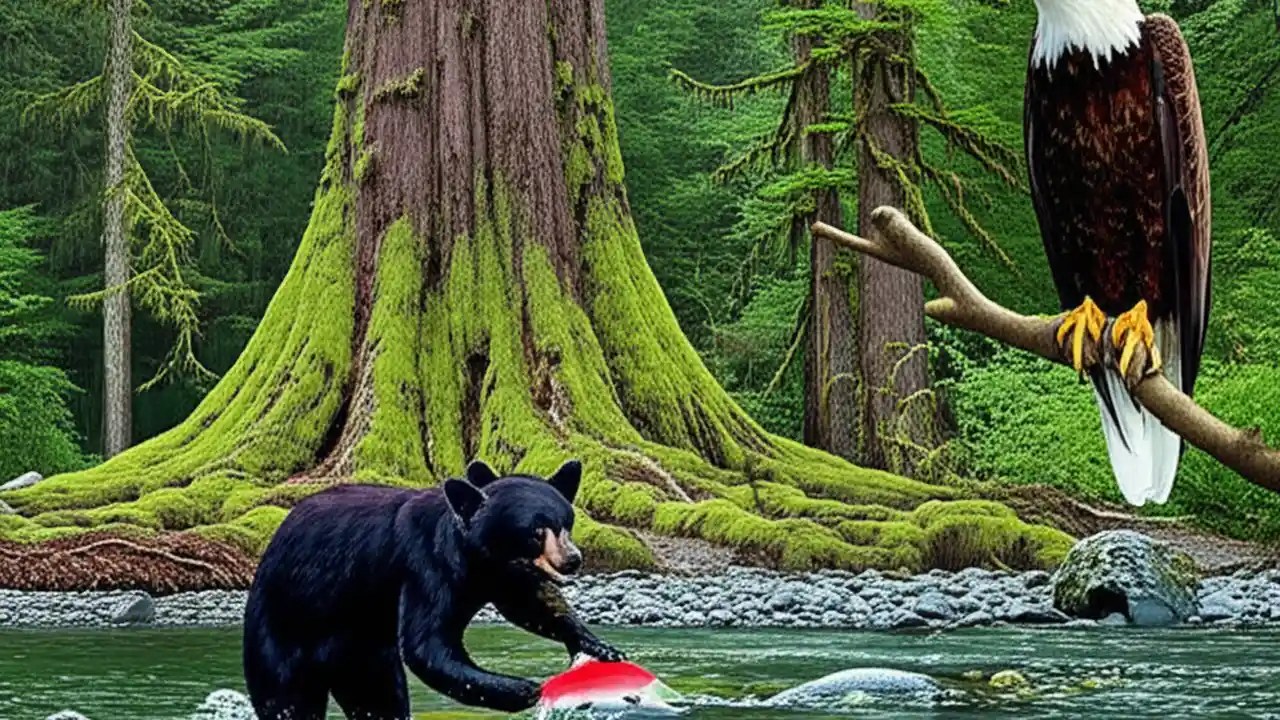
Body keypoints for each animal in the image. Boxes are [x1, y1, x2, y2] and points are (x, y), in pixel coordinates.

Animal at [242, 458, 625, 719]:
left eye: (566, 523)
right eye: (535, 531)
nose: (573, 559)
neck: (473, 558)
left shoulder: (497, 574)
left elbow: (531, 606)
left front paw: (599, 646)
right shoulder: (425, 567)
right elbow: (427, 644)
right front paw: (522, 688)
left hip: (365, 658)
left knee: (379, 700)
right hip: (281, 634)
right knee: (288, 700)